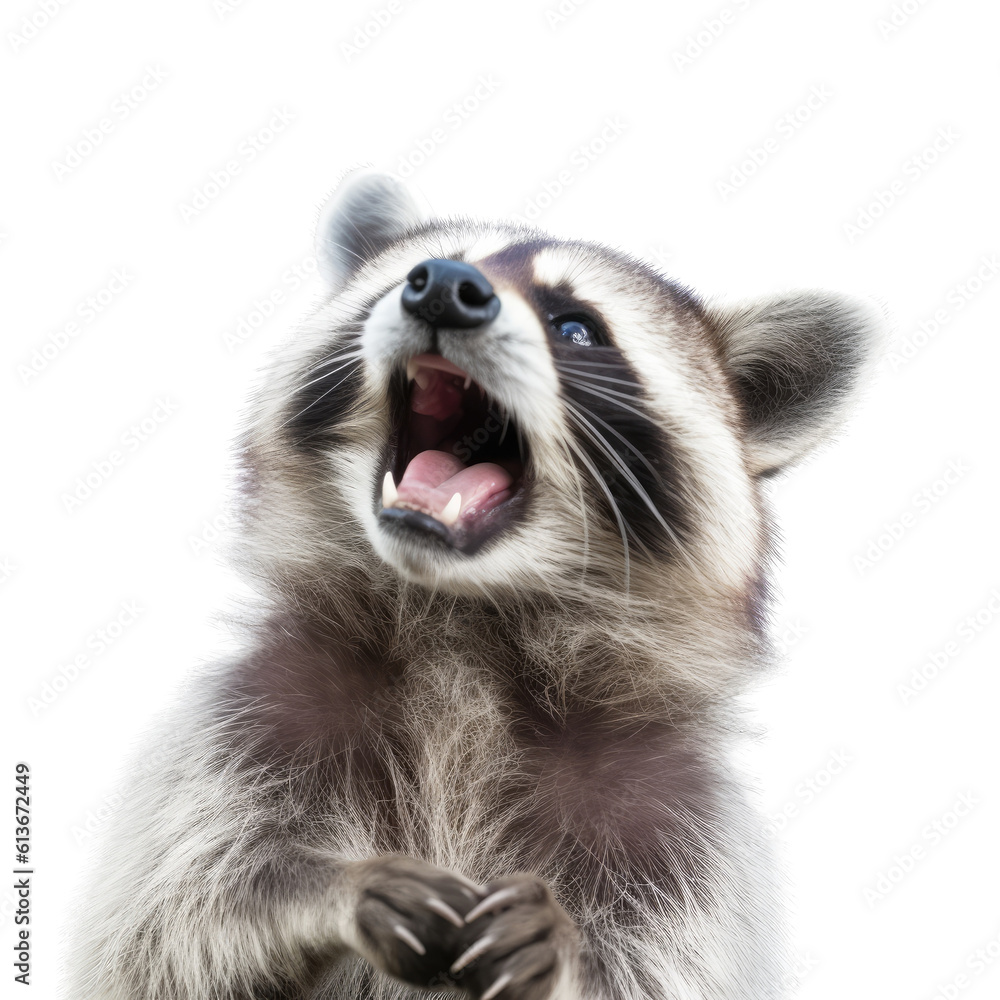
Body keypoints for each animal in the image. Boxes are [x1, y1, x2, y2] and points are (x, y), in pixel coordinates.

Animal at [68, 170, 880, 1000]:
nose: (443, 290)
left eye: (576, 327)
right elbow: (167, 924)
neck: (464, 616)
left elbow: (662, 969)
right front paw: (324, 887)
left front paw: (569, 950)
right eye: (409, 274)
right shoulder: (250, 723)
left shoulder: (679, 826)